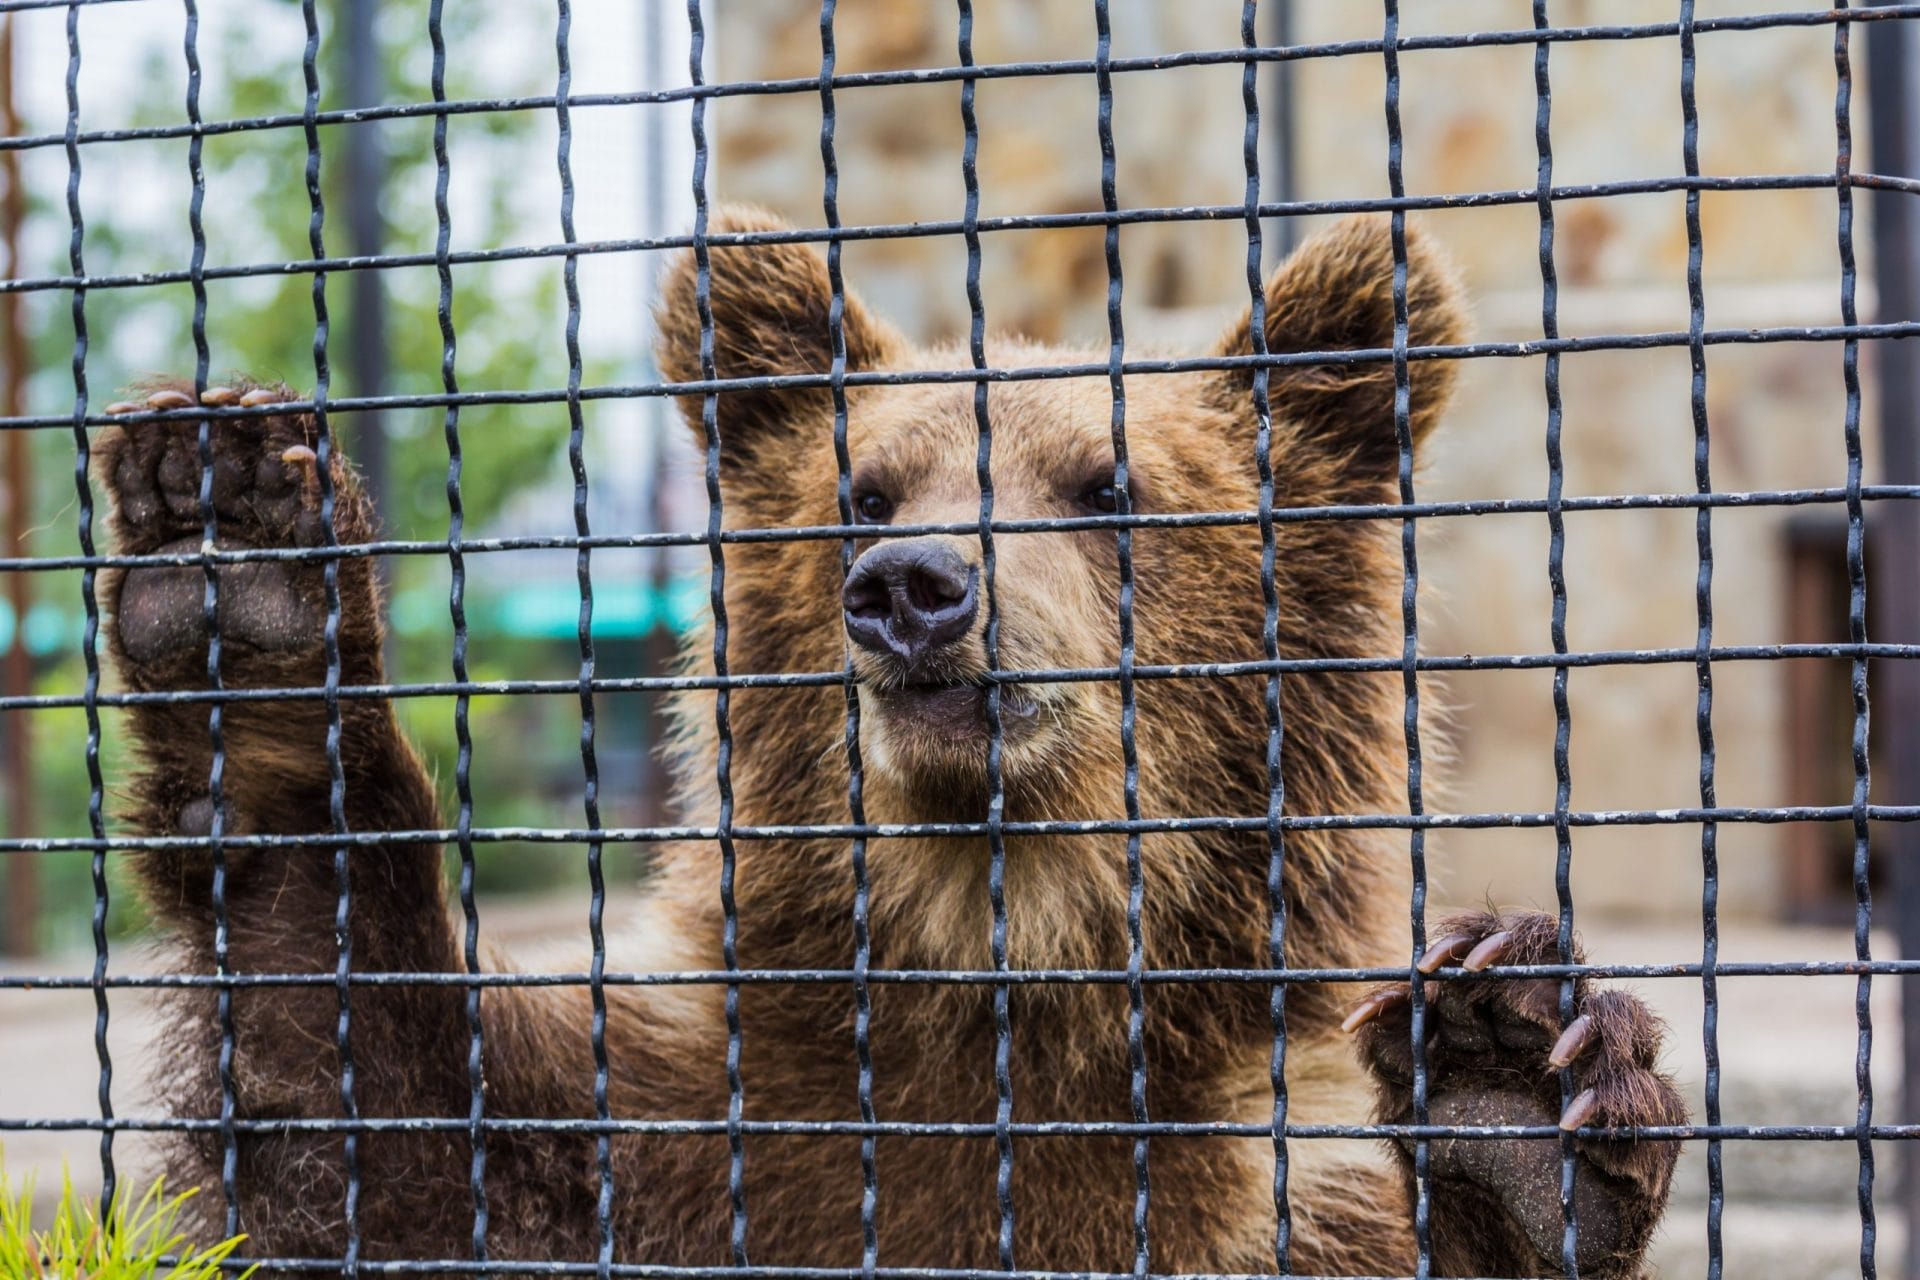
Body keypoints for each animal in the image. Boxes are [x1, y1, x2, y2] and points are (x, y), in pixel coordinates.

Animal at [94, 208, 1684, 1278]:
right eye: (863, 489)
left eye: (1109, 485)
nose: (914, 589)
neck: (999, 964)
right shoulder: (680, 1146)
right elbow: (361, 1127)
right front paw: (238, 552)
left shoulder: (1266, 1198)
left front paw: (1506, 1080)